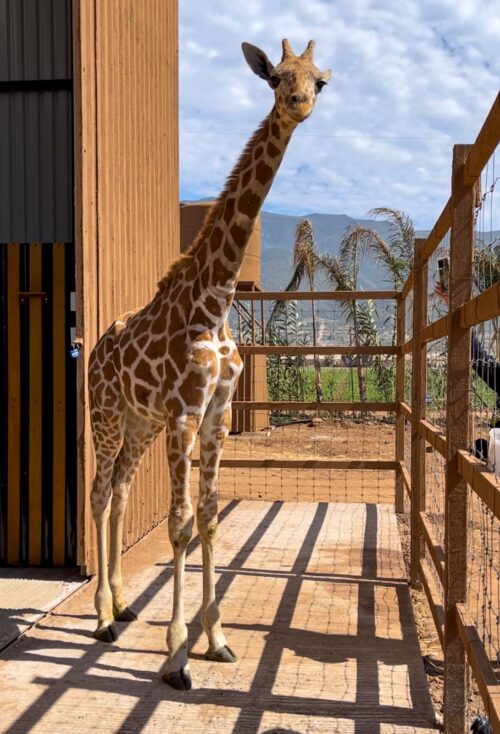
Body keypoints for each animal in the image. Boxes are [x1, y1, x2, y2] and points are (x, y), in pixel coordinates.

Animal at [88, 38, 331, 690]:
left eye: (320, 81)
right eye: (275, 76)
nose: (298, 104)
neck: (217, 300)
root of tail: (94, 348)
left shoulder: (217, 414)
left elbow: (210, 518)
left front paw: (216, 640)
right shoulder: (184, 413)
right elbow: (178, 524)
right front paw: (176, 656)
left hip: (139, 424)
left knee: (121, 487)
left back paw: (123, 604)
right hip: (107, 414)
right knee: (98, 492)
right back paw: (102, 616)